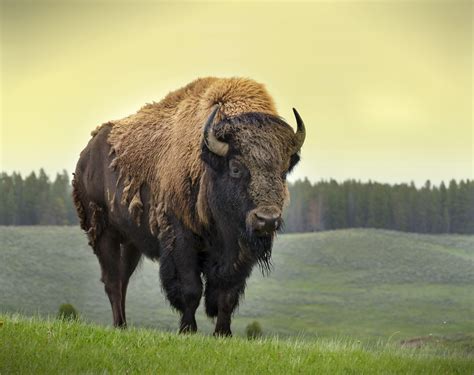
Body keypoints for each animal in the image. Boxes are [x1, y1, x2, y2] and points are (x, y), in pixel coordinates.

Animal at [72, 78, 306, 336]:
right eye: (235, 167)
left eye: (283, 171)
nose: (267, 219)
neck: (209, 165)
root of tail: (86, 156)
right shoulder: (181, 238)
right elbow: (190, 289)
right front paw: (188, 330)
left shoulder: (237, 253)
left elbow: (227, 293)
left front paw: (222, 333)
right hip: (104, 232)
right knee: (113, 280)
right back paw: (121, 325)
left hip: (131, 242)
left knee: (122, 279)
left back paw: (123, 326)